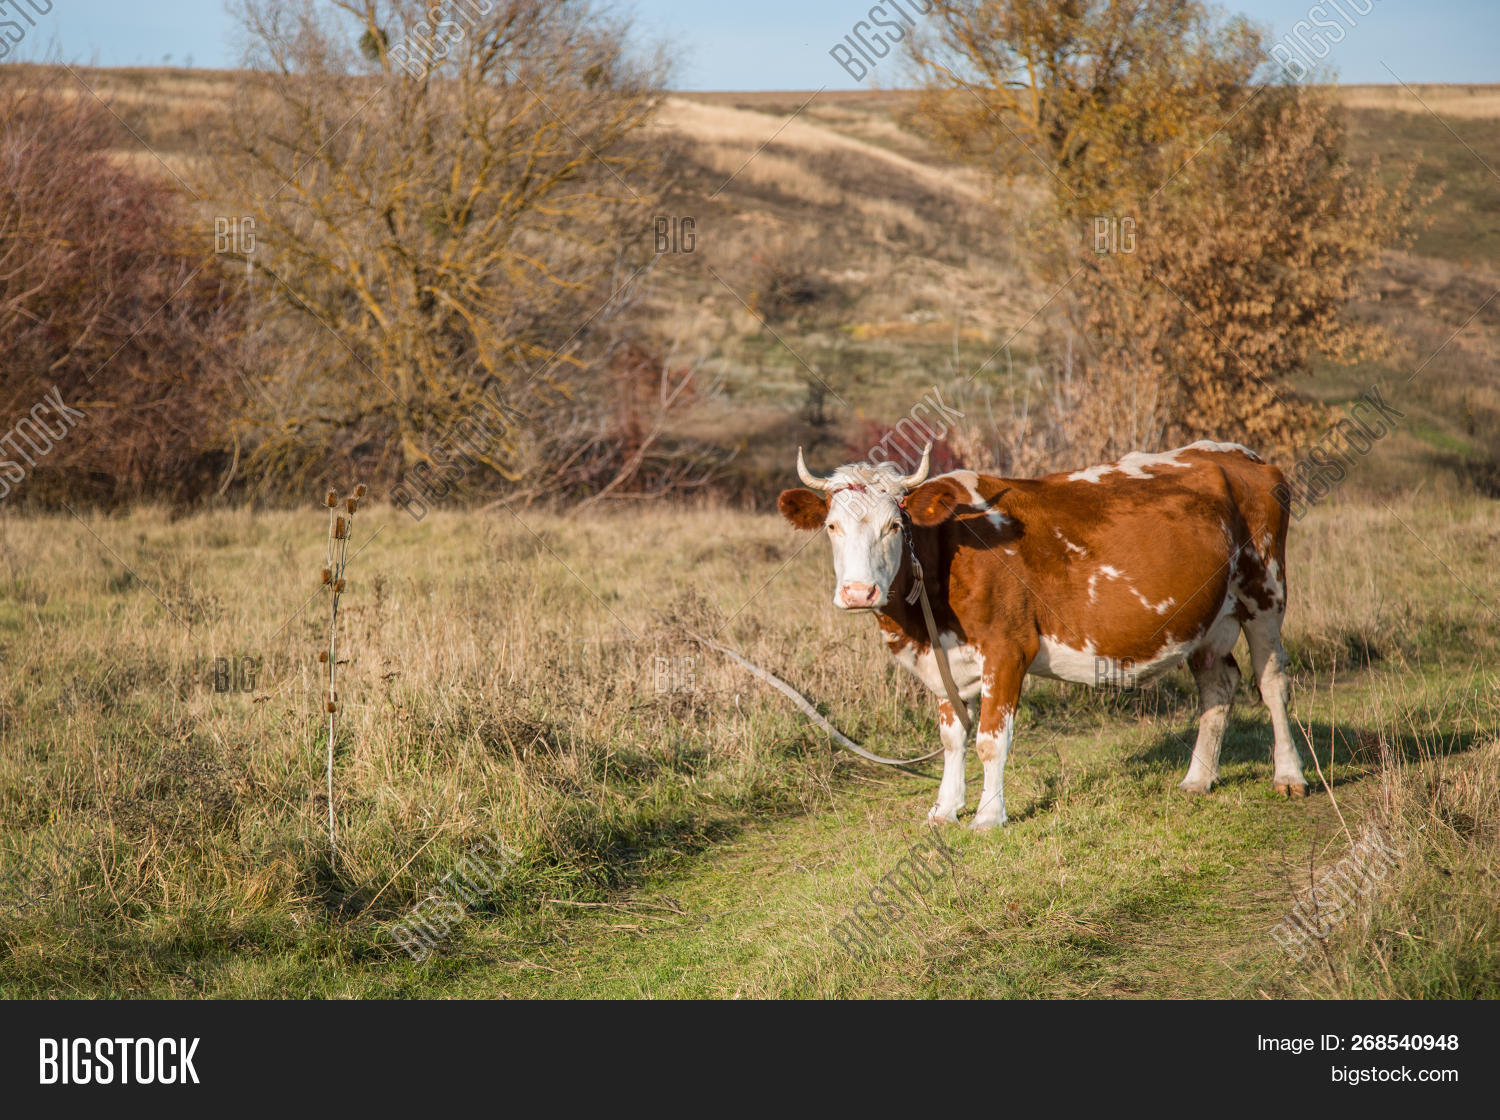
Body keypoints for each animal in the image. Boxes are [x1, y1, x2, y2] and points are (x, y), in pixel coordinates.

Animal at [778, 440, 1305, 829]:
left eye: (893, 525)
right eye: (831, 526)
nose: (858, 592)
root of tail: (1238, 455)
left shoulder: (1007, 649)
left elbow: (990, 738)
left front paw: (989, 816)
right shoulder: (942, 658)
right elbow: (952, 737)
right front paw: (945, 809)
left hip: (1265, 590)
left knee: (1271, 682)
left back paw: (1289, 775)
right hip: (1205, 618)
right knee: (1217, 686)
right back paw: (1198, 779)